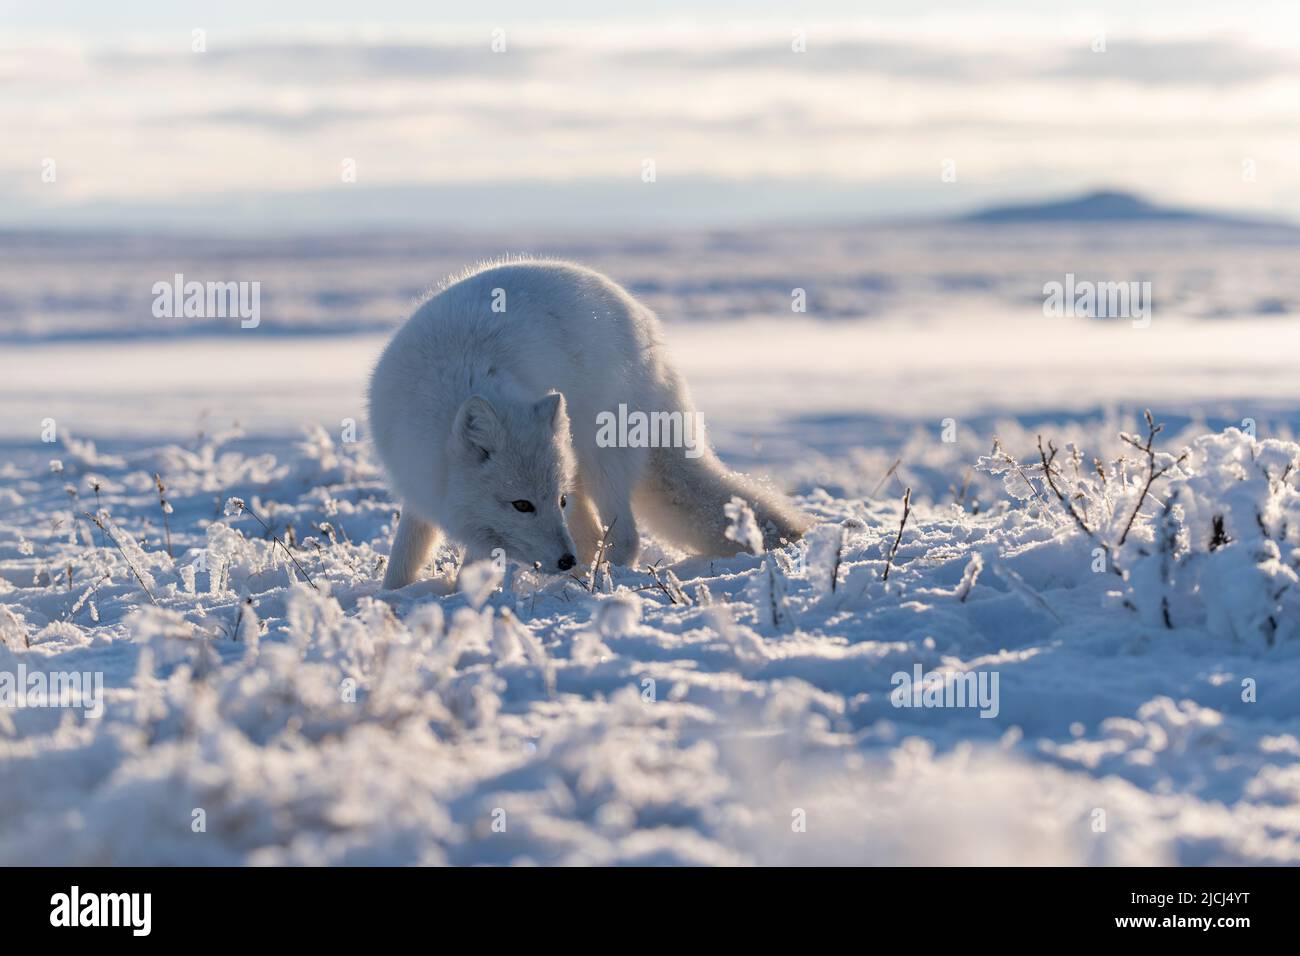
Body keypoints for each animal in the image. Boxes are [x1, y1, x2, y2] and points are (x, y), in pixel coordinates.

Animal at [368, 259, 810, 590]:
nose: (564, 560)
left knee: (625, 537)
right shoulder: (418, 485)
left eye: (555, 501)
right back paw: (583, 576)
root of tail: (650, 328)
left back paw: (596, 582)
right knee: (597, 536)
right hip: (579, 465)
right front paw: (393, 597)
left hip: (600, 459)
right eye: (523, 505)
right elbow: (405, 553)